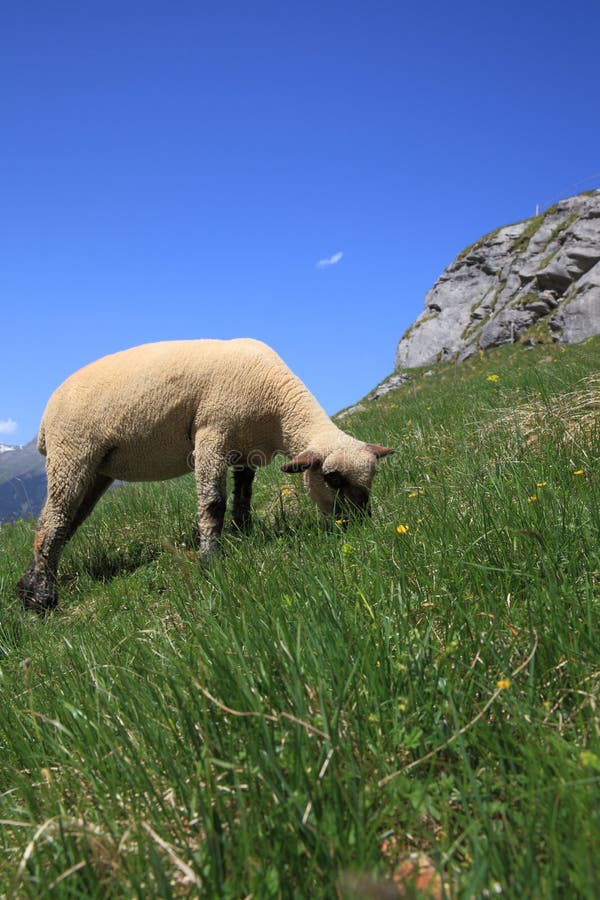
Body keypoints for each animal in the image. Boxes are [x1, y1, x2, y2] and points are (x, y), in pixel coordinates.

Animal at [17, 339, 394, 612]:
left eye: (371, 479)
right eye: (332, 479)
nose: (359, 522)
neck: (278, 411)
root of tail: (44, 422)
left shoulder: (245, 449)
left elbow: (243, 497)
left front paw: (243, 534)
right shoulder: (212, 432)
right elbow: (213, 502)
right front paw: (210, 561)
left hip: (96, 470)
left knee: (64, 523)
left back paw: (27, 587)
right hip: (71, 454)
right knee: (52, 522)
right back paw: (41, 600)